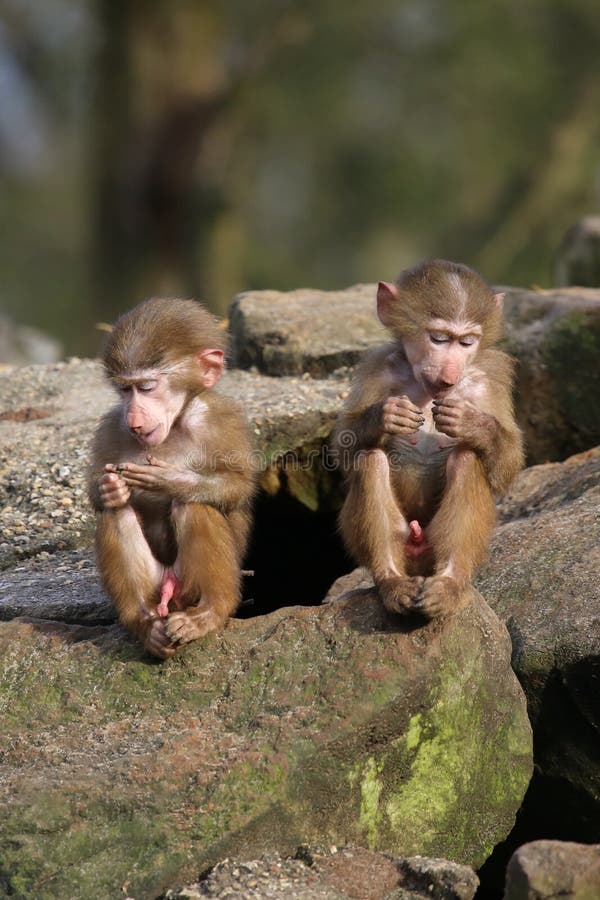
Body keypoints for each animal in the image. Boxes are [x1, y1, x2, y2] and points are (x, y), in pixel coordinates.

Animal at [88, 298, 256, 659]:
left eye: (147, 387)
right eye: (126, 390)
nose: (135, 419)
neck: (177, 423)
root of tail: (170, 590)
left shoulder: (220, 419)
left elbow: (237, 486)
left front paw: (171, 480)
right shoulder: (113, 424)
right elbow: (100, 488)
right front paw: (109, 488)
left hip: (188, 584)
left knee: (193, 506)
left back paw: (210, 612)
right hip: (154, 583)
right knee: (116, 514)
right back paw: (144, 623)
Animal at [334, 259, 524, 619]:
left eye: (467, 342)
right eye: (438, 338)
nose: (449, 375)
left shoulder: (490, 375)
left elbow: (507, 465)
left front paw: (472, 423)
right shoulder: (379, 366)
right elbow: (344, 448)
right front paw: (385, 417)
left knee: (467, 459)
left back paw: (449, 584)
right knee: (371, 460)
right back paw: (392, 581)